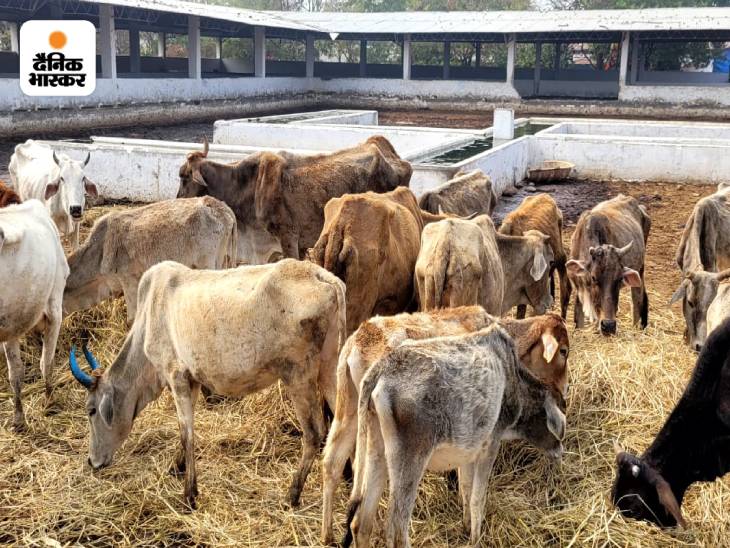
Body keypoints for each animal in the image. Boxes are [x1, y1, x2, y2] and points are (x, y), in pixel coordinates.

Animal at [69, 259, 345, 509]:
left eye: (91, 410)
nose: (92, 462)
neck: (148, 320)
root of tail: (319, 275)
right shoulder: (191, 381)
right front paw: (177, 466)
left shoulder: (177, 376)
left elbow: (187, 433)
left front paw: (189, 495)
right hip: (330, 369)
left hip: (298, 375)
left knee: (314, 433)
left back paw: (292, 495)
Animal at [320, 306, 569, 545]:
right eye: (563, 351)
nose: (559, 452)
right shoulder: (490, 444)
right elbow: (478, 498)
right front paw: (476, 538)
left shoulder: (470, 450)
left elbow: (466, 489)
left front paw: (466, 527)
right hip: (409, 460)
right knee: (396, 528)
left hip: (362, 432)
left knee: (351, 502)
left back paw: (328, 535)